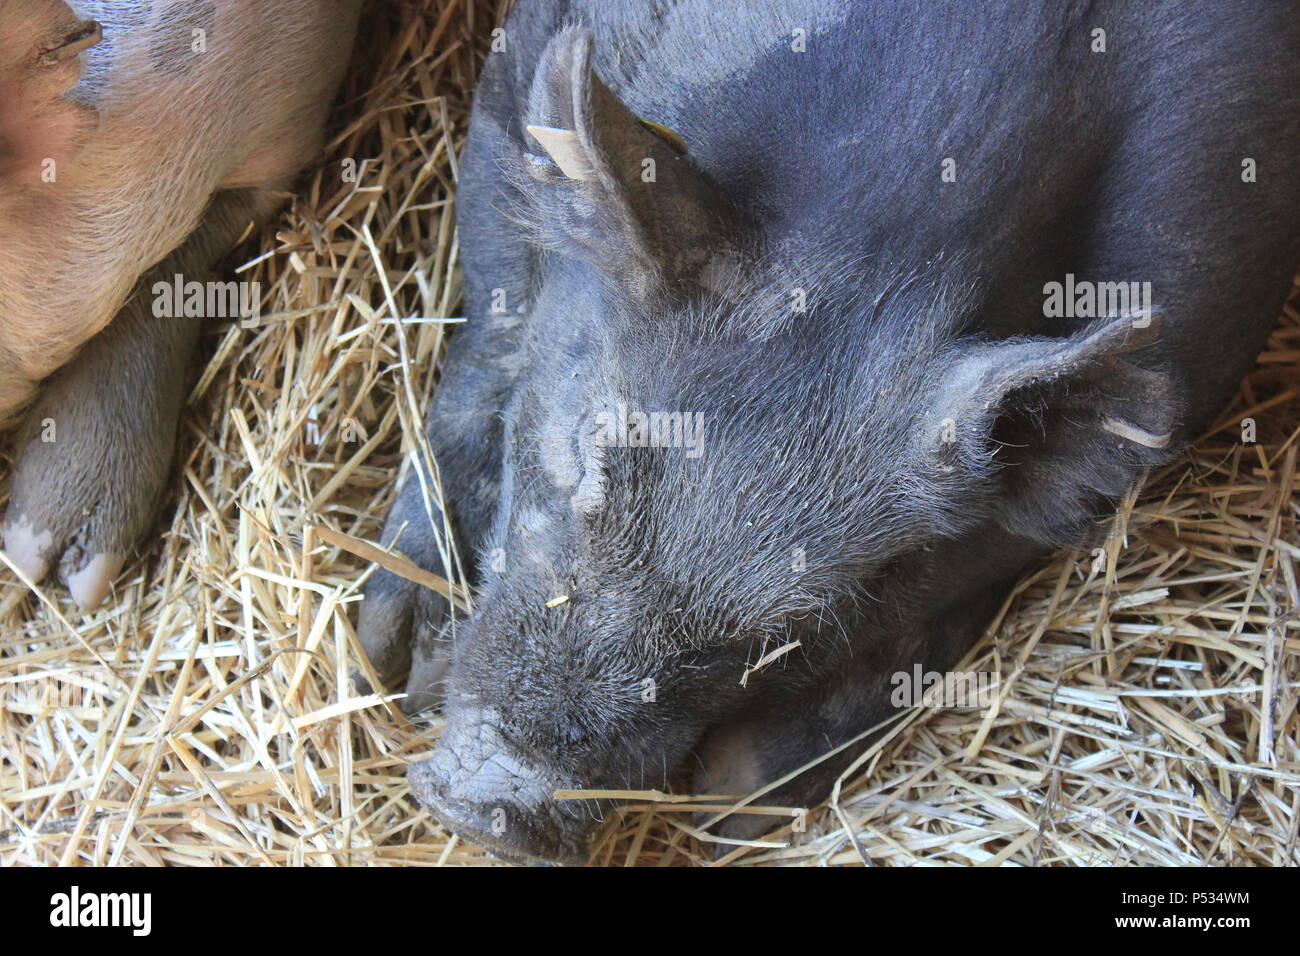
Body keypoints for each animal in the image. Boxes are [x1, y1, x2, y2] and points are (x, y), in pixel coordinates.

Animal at [356, 0, 1300, 864]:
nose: (488, 808)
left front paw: (737, 806)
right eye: (590, 461)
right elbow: (496, 314)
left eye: (790, 631)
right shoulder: (522, 67)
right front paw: (397, 656)